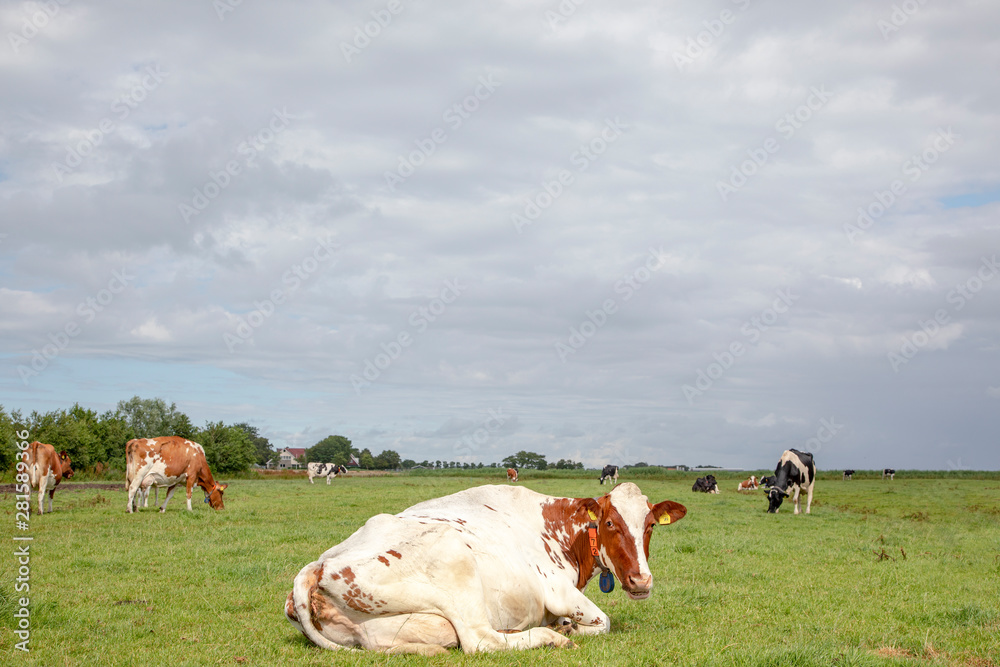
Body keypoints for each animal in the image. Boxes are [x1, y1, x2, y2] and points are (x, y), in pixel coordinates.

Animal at [285, 482, 686, 655]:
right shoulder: (558, 592)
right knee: (481, 641)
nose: (641, 580)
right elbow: (604, 623)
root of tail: (317, 566)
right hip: (455, 561)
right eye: (610, 524)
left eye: (651, 525)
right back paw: (551, 637)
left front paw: (566, 624)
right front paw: (568, 627)